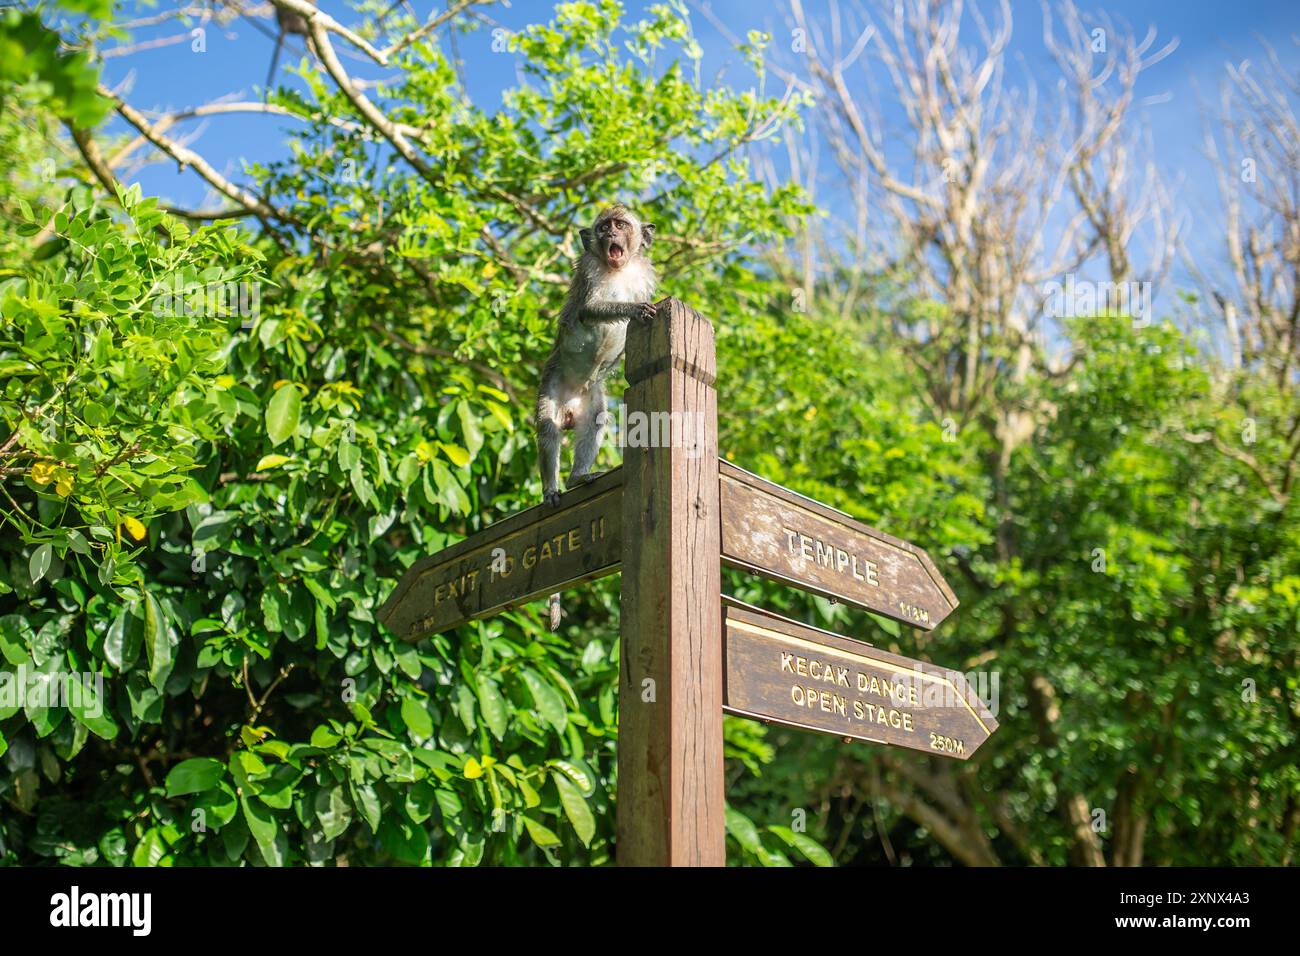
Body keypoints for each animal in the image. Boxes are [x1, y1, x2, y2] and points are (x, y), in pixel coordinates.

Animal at [536, 203, 658, 630]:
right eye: (604, 227)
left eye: (621, 225)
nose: (611, 237)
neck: (618, 269)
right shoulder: (589, 270)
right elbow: (588, 308)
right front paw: (635, 311)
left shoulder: (644, 275)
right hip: (552, 383)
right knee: (548, 430)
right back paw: (553, 486)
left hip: (590, 398)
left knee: (597, 419)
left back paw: (578, 476)